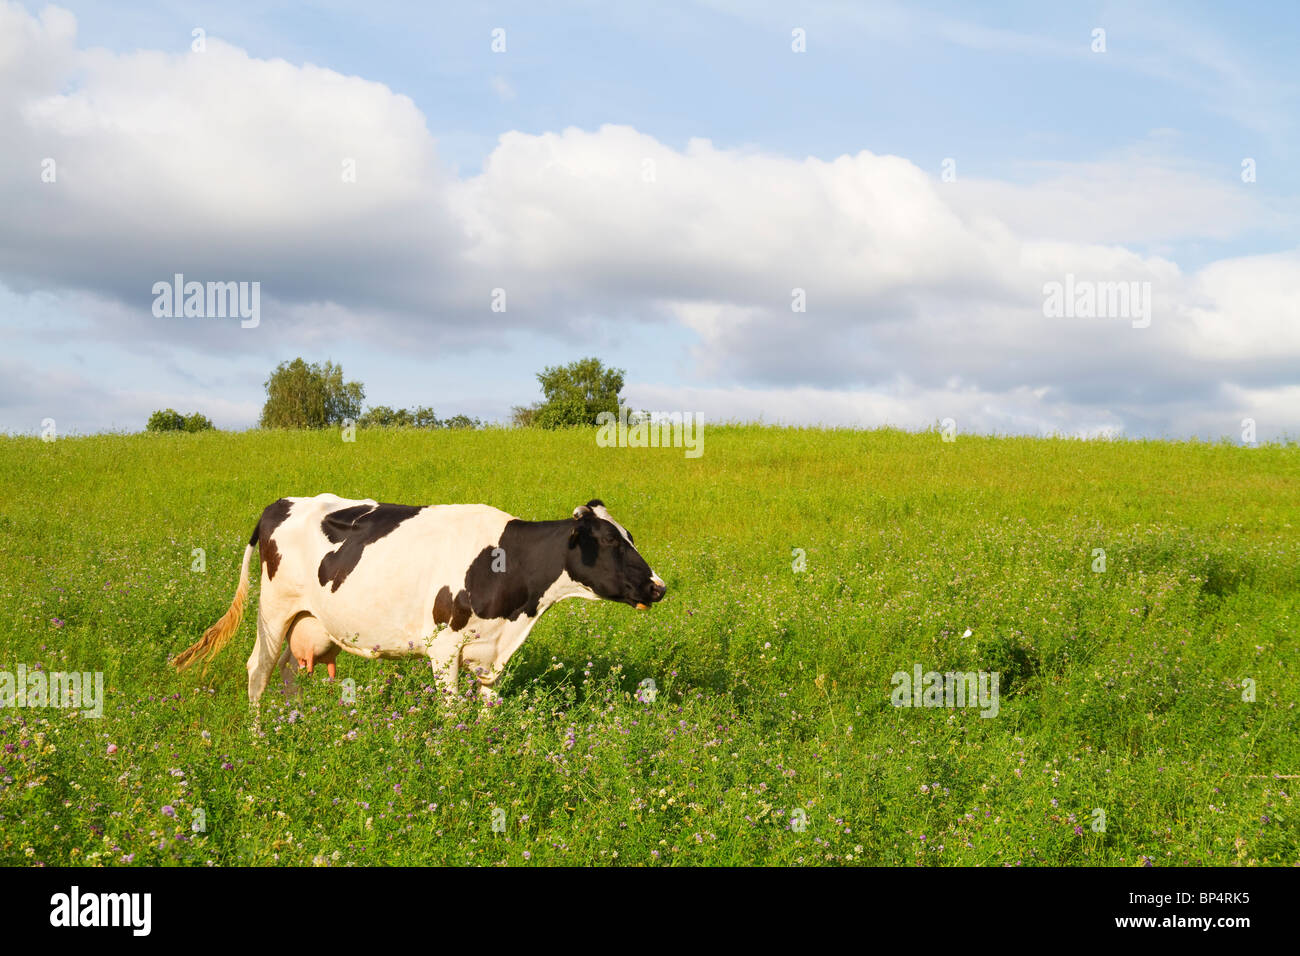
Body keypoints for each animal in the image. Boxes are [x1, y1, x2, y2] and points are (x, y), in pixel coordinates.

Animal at [172, 496, 666, 704]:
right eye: (610, 541)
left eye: (630, 536)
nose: (659, 587)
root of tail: (279, 502)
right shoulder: (444, 650)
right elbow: (450, 713)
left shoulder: (490, 654)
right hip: (274, 611)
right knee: (258, 670)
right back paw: (261, 738)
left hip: (303, 617)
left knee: (288, 672)